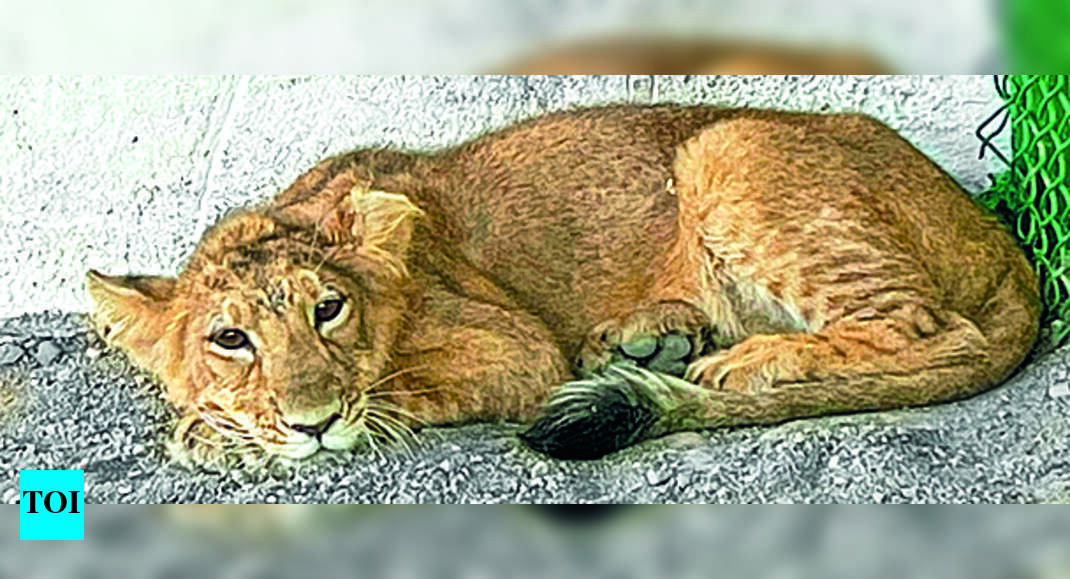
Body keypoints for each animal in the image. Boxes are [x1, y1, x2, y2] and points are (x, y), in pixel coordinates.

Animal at [86, 104, 1039, 462]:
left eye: (330, 309)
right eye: (230, 338)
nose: (312, 424)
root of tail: (1005, 243)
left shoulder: (518, 347)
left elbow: (402, 386)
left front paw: (226, 436)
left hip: (725, 148)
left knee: (928, 328)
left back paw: (747, 363)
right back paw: (653, 340)